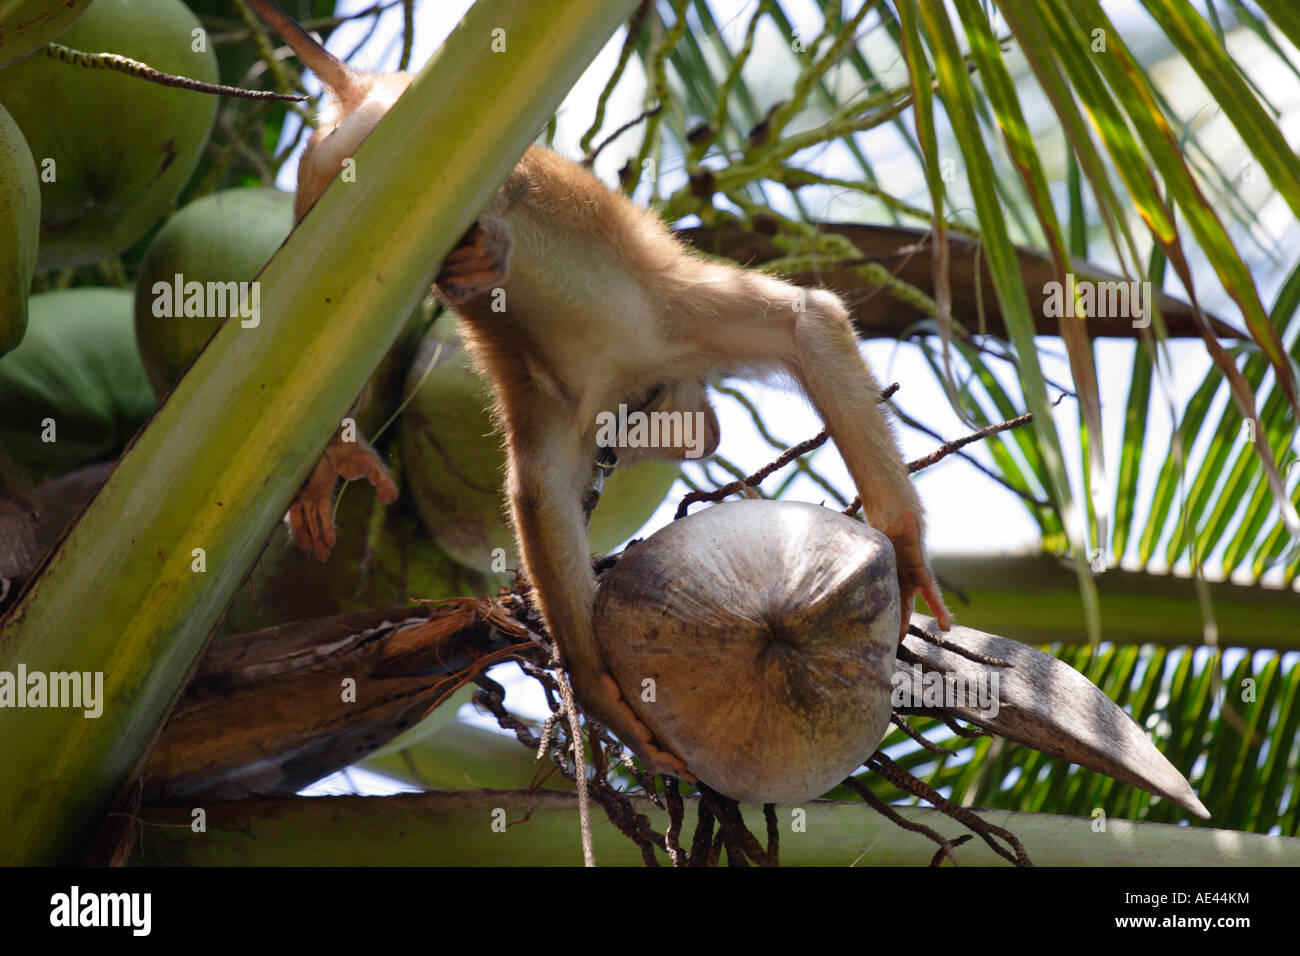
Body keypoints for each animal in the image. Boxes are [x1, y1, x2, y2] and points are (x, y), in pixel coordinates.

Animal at [245, 0, 951, 778]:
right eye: (649, 441)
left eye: (630, 451)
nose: (704, 438)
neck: (620, 377)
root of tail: (371, 86)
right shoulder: (652, 340)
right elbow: (543, 491)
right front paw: (599, 691)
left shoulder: (620, 369)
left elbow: (805, 324)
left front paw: (902, 552)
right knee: (493, 190)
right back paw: (487, 246)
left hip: (325, 188)